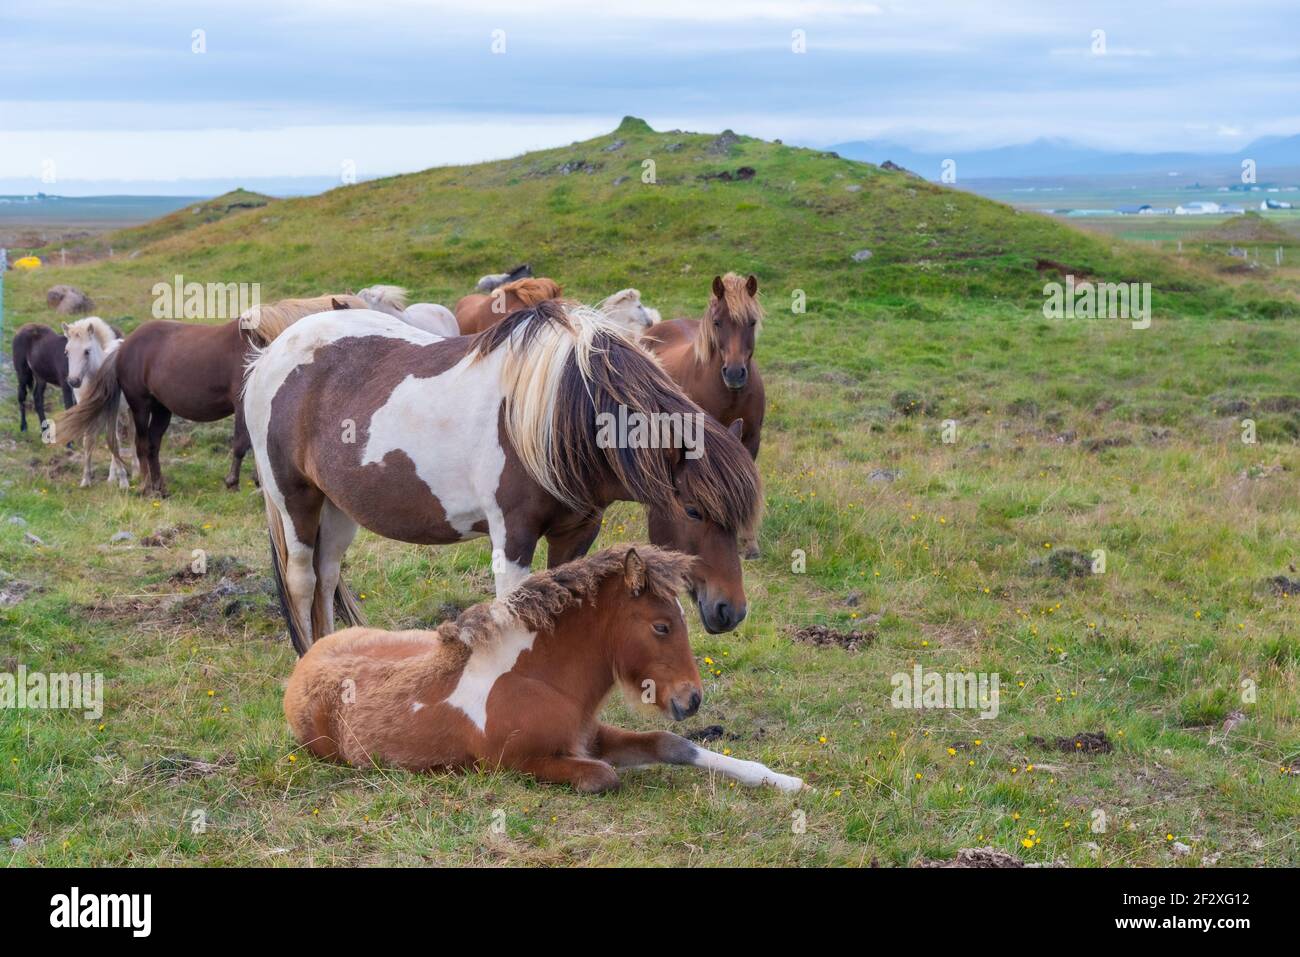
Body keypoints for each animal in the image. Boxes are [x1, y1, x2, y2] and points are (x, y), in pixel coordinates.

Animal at [62, 317, 133, 488]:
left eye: (87, 351)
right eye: (67, 352)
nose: (73, 381)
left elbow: (113, 441)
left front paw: (124, 482)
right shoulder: (88, 413)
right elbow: (88, 441)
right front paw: (86, 480)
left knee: (132, 436)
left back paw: (137, 471)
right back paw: (111, 477)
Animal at [244, 300, 761, 655]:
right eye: (693, 510)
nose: (731, 611)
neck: (558, 416)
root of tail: (270, 354)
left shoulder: (578, 531)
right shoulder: (512, 537)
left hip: (338, 508)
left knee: (328, 576)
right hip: (295, 501)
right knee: (303, 580)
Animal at [284, 544, 804, 793]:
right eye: (661, 626)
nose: (691, 698)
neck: (540, 680)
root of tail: (307, 659)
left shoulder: (589, 735)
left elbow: (672, 744)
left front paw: (784, 782)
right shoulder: (514, 763)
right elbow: (603, 775)